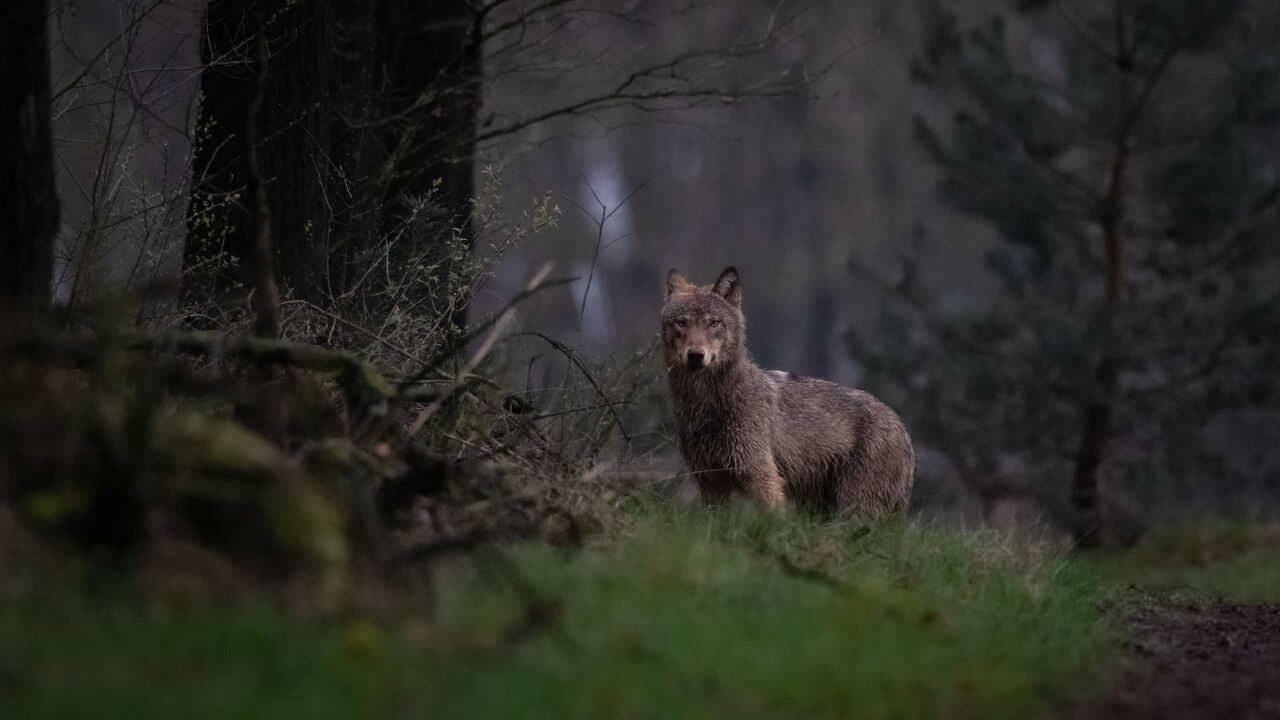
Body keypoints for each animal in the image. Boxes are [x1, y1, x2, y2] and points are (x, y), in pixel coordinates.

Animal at [662, 266, 914, 518]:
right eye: (681, 323)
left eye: (714, 322)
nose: (696, 355)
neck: (705, 405)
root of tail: (902, 428)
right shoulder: (709, 481)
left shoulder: (761, 476)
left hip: (852, 506)